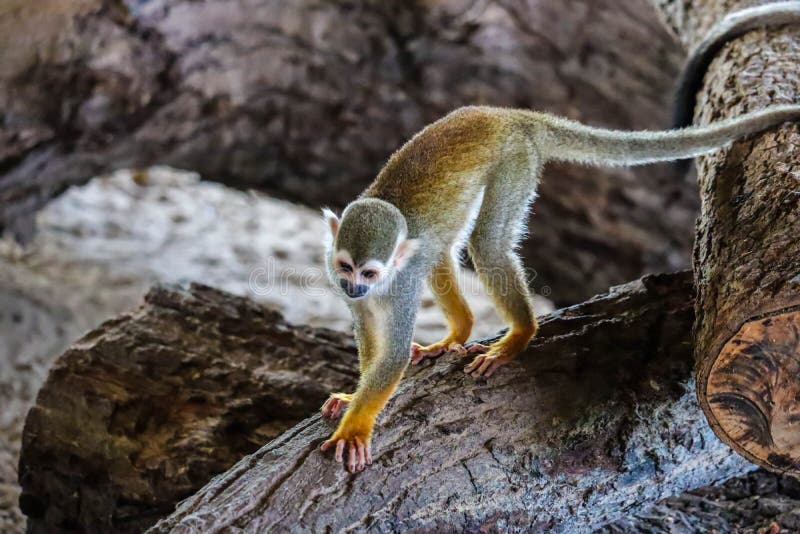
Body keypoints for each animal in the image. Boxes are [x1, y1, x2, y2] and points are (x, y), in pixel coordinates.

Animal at [319, 103, 800, 473]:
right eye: (346, 267)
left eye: (370, 273)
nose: (353, 288)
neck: (380, 286)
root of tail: (507, 114)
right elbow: (371, 338)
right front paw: (352, 396)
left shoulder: (398, 289)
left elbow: (394, 354)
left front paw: (355, 429)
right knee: (443, 249)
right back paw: (459, 332)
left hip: (514, 162)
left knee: (487, 244)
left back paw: (520, 335)